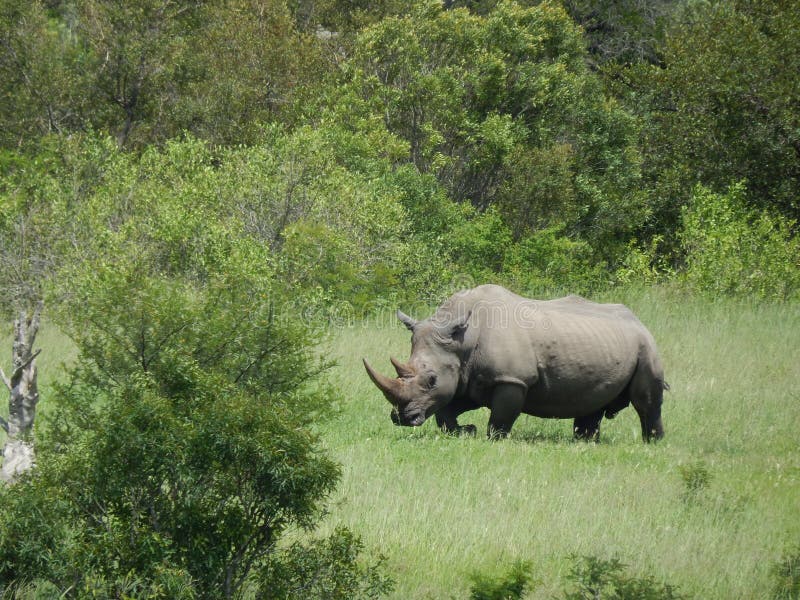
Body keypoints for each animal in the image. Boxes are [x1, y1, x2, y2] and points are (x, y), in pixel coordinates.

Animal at [363, 285, 668, 441]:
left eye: (431, 379)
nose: (402, 418)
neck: (462, 341)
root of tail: (639, 320)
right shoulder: (468, 379)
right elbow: (445, 414)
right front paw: (466, 431)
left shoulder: (511, 379)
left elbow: (500, 418)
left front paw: (493, 439)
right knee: (592, 403)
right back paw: (584, 441)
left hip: (646, 345)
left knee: (646, 400)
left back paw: (652, 442)